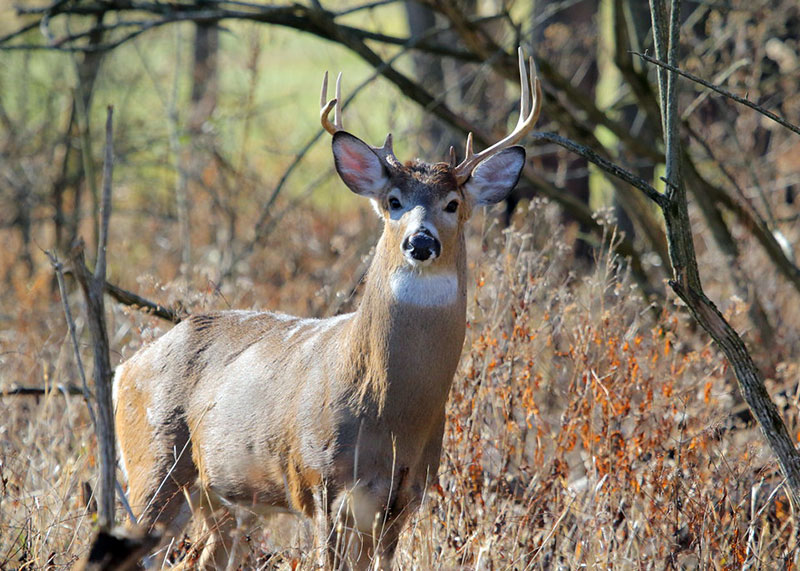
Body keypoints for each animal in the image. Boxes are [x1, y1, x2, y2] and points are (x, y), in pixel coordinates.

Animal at [113, 48, 541, 570]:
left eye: (453, 203)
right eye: (393, 201)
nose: (421, 242)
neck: (389, 414)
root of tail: (125, 369)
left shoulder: (402, 500)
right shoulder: (318, 483)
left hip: (225, 499)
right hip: (153, 466)